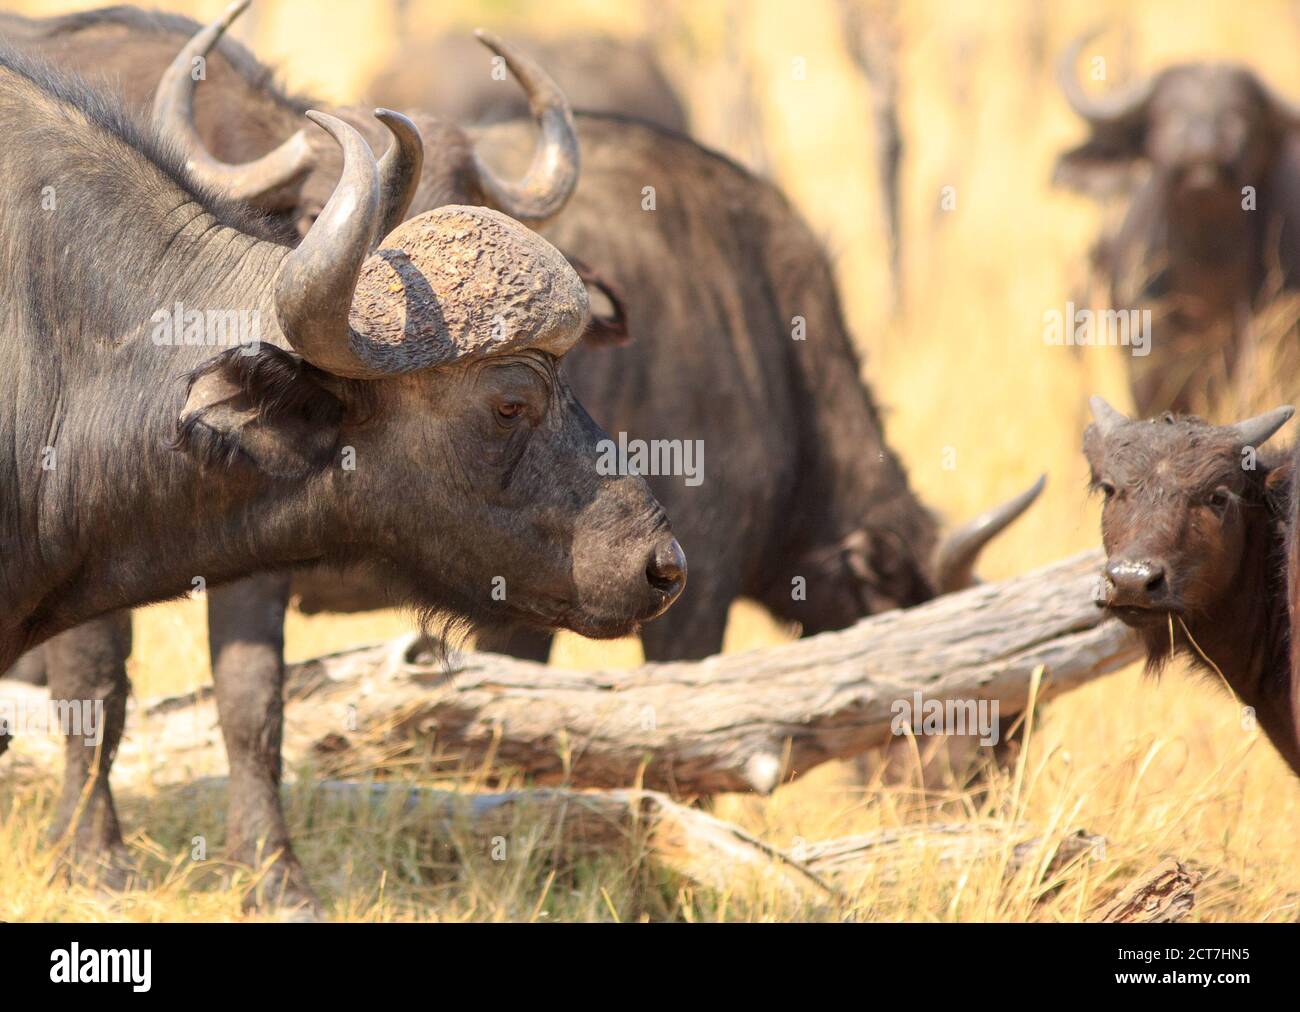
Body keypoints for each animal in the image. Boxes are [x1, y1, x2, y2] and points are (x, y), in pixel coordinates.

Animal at [0, 47, 684, 916]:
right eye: (510, 401)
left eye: (570, 376)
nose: (662, 566)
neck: (57, 340)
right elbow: (95, 692)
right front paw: (94, 860)